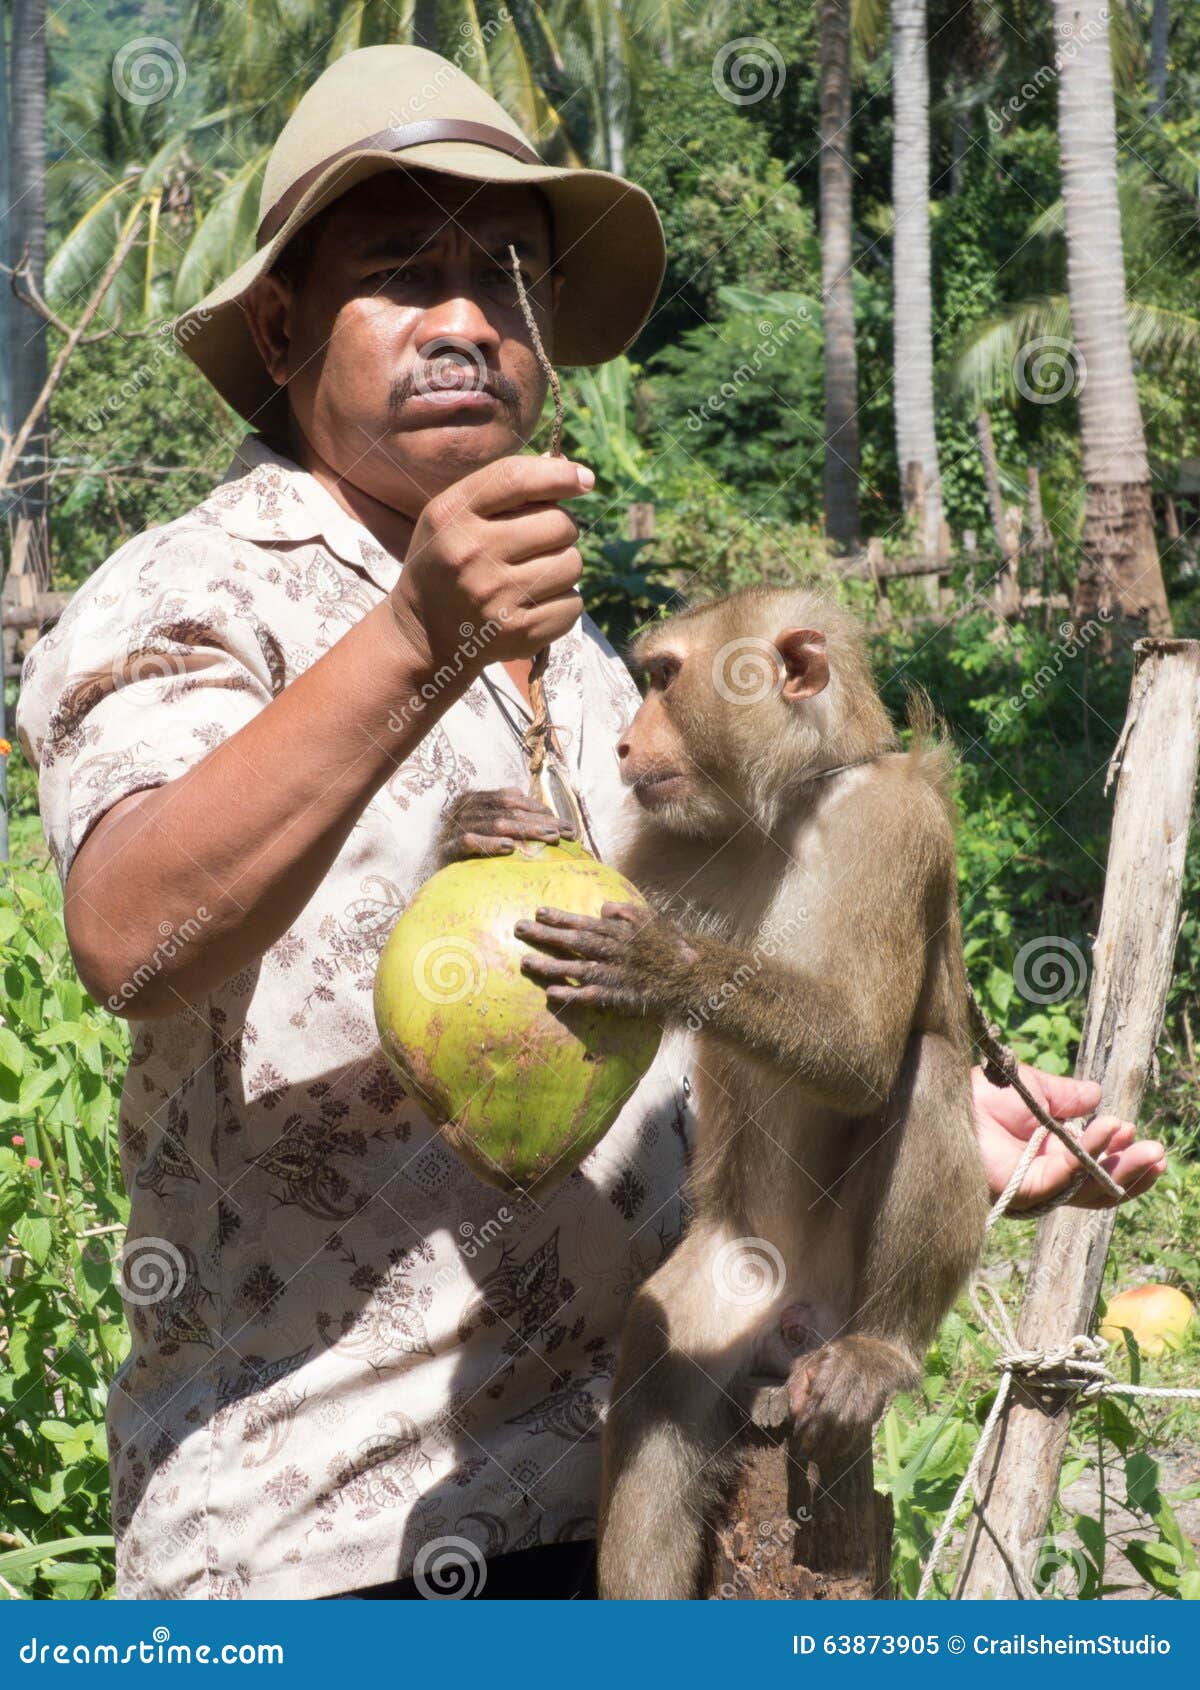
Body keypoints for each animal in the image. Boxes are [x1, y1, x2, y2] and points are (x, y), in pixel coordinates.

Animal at [432, 585, 989, 1601]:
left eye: (664, 678)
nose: (622, 744)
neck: (790, 810)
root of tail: (794, 1328)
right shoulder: (663, 838)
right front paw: (473, 830)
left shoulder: (892, 824)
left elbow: (861, 1051)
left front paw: (661, 966)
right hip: (721, 1301)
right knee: (656, 1385)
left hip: (839, 1308)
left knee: (923, 1070)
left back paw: (880, 1353)